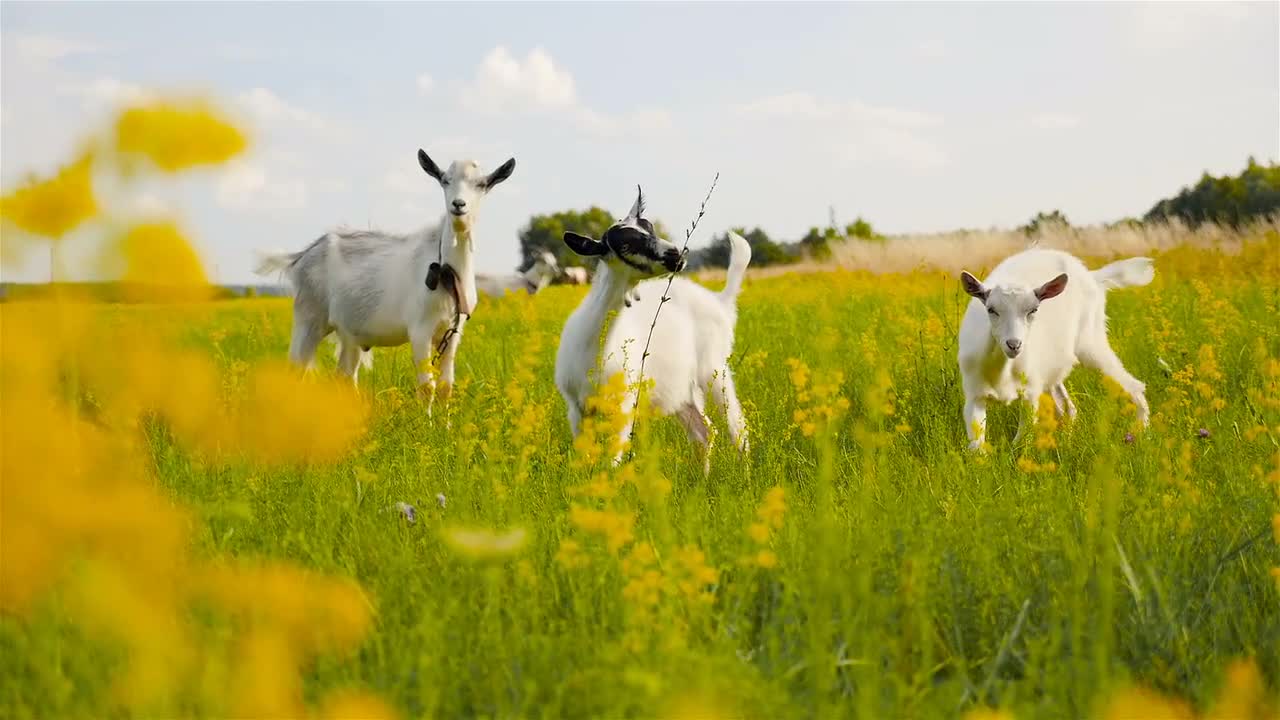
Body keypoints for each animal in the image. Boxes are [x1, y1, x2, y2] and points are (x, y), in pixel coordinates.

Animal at [254, 149, 515, 412]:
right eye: (445, 180)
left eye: (481, 184)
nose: (458, 205)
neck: (447, 271)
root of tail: (301, 256)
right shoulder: (420, 329)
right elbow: (426, 387)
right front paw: (427, 422)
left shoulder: (452, 332)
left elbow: (445, 387)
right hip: (309, 318)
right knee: (295, 370)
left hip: (349, 333)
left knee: (344, 376)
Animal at [554, 186, 751, 471]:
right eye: (625, 244)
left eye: (651, 228)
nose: (677, 255)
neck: (596, 347)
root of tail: (720, 301)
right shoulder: (576, 407)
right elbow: (586, 457)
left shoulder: (625, 406)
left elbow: (613, 459)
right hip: (682, 388)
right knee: (704, 432)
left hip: (715, 370)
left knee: (738, 430)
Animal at [957, 248, 1154, 450]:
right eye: (991, 310)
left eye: (1034, 310)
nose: (1014, 344)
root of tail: (1092, 277)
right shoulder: (974, 394)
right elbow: (977, 446)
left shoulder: (1031, 393)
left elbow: (1021, 441)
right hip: (1053, 367)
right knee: (1067, 407)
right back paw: (1067, 443)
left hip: (1091, 342)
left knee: (1133, 384)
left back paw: (1142, 435)